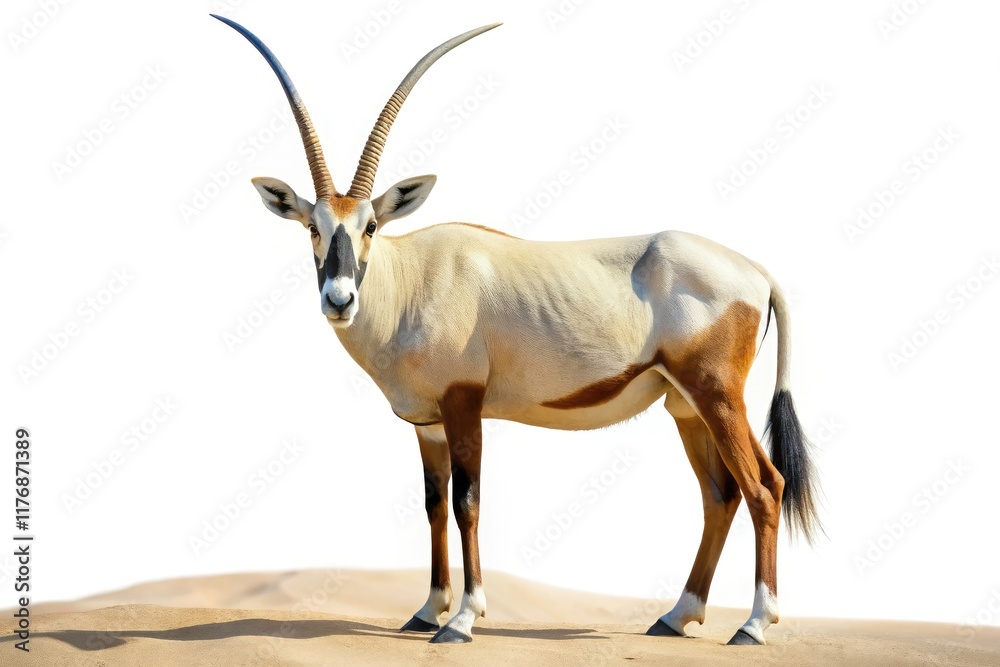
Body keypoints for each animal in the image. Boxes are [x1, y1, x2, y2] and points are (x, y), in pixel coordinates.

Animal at [212, 15, 821, 646]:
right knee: (719, 496)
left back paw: (753, 625)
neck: (410, 279)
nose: (339, 299)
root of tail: (757, 271)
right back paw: (676, 616)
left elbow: (468, 503)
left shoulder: (463, 405)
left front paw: (462, 619)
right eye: (312, 226)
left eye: (372, 225)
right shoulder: (427, 422)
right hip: (684, 407)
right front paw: (427, 610)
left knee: (764, 487)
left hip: (717, 396)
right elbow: (432, 504)